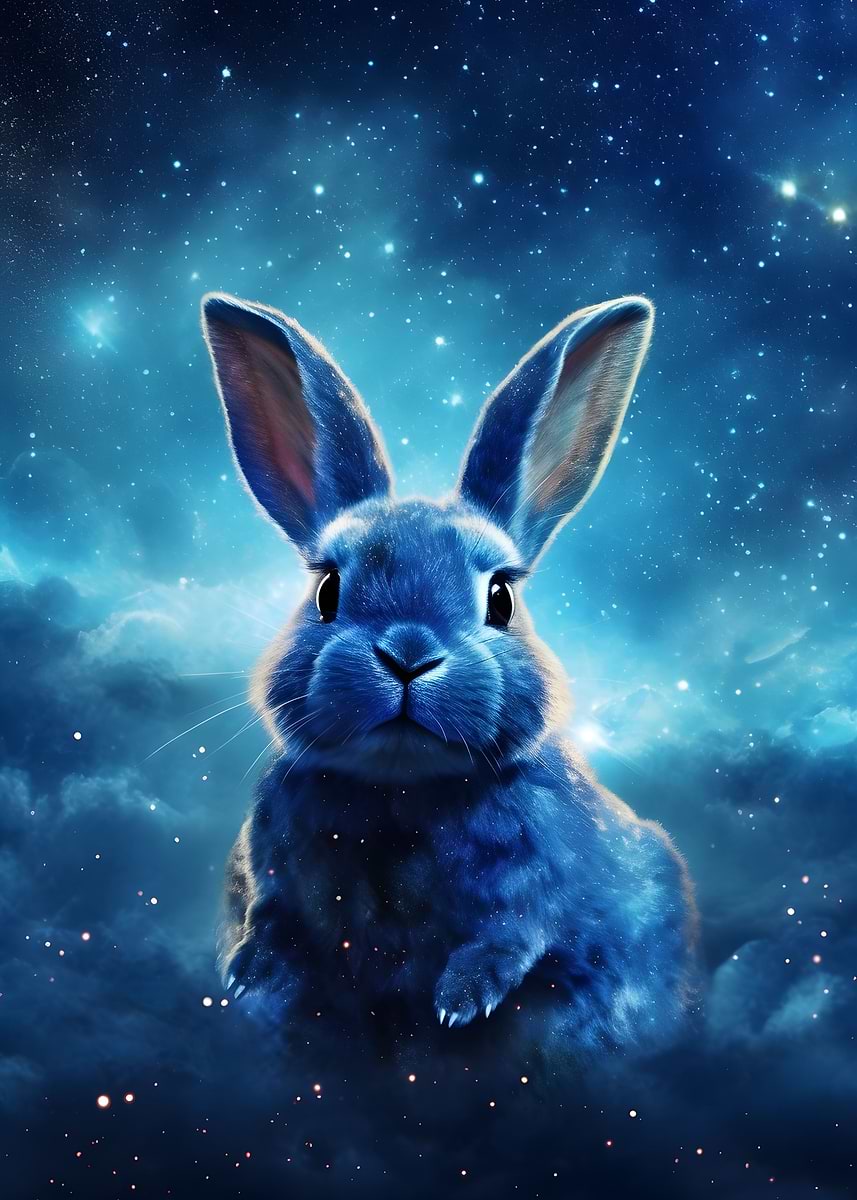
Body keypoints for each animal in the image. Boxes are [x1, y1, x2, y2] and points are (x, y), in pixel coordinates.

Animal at [200, 291, 697, 1053]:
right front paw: (246, 970)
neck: (402, 794)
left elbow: (510, 935)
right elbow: (273, 922)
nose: (408, 655)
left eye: (501, 599)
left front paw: (461, 1000)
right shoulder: (272, 873)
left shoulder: (534, 885)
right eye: (326, 591)